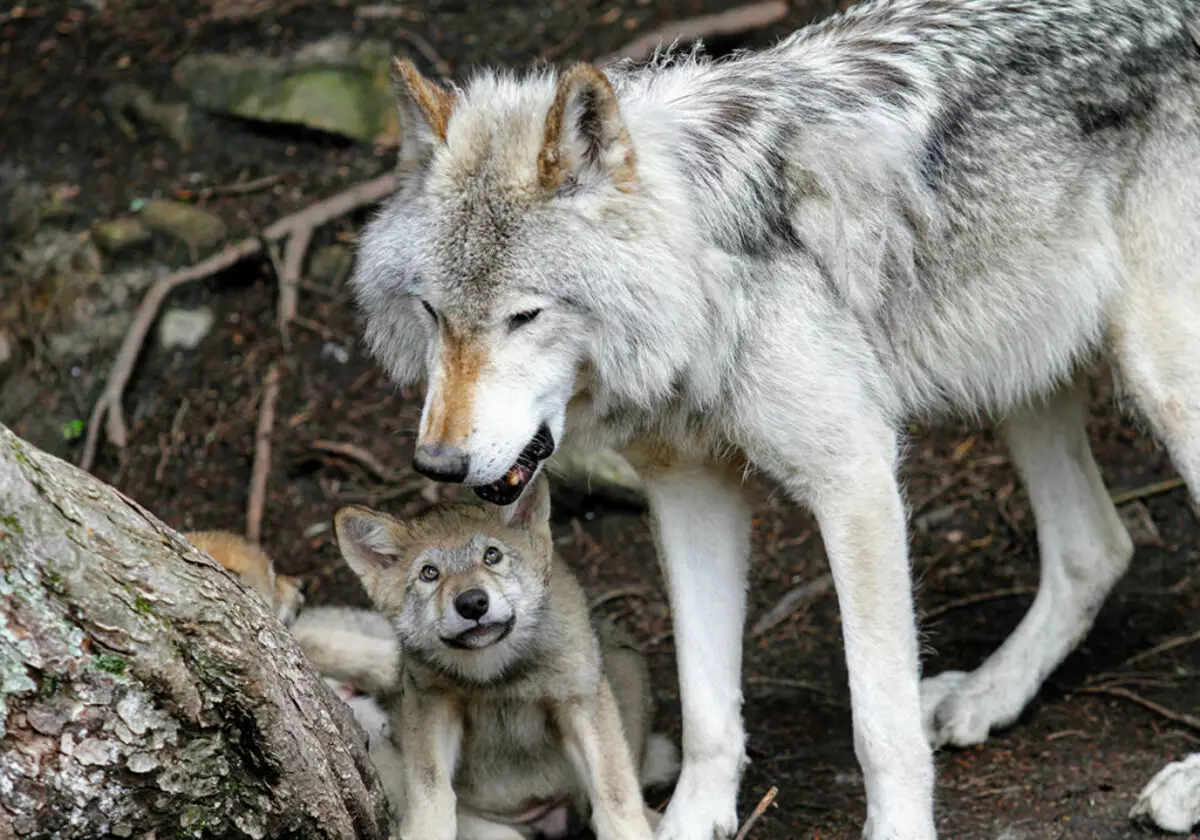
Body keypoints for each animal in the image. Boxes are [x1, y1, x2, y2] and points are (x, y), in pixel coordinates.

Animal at [319, 480, 676, 840]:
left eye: (492, 556)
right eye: (429, 573)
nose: (472, 603)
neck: (495, 674)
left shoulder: (580, 697)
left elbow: (615, 792)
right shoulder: (430, 703)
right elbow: (431, 793)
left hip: (625, 662)